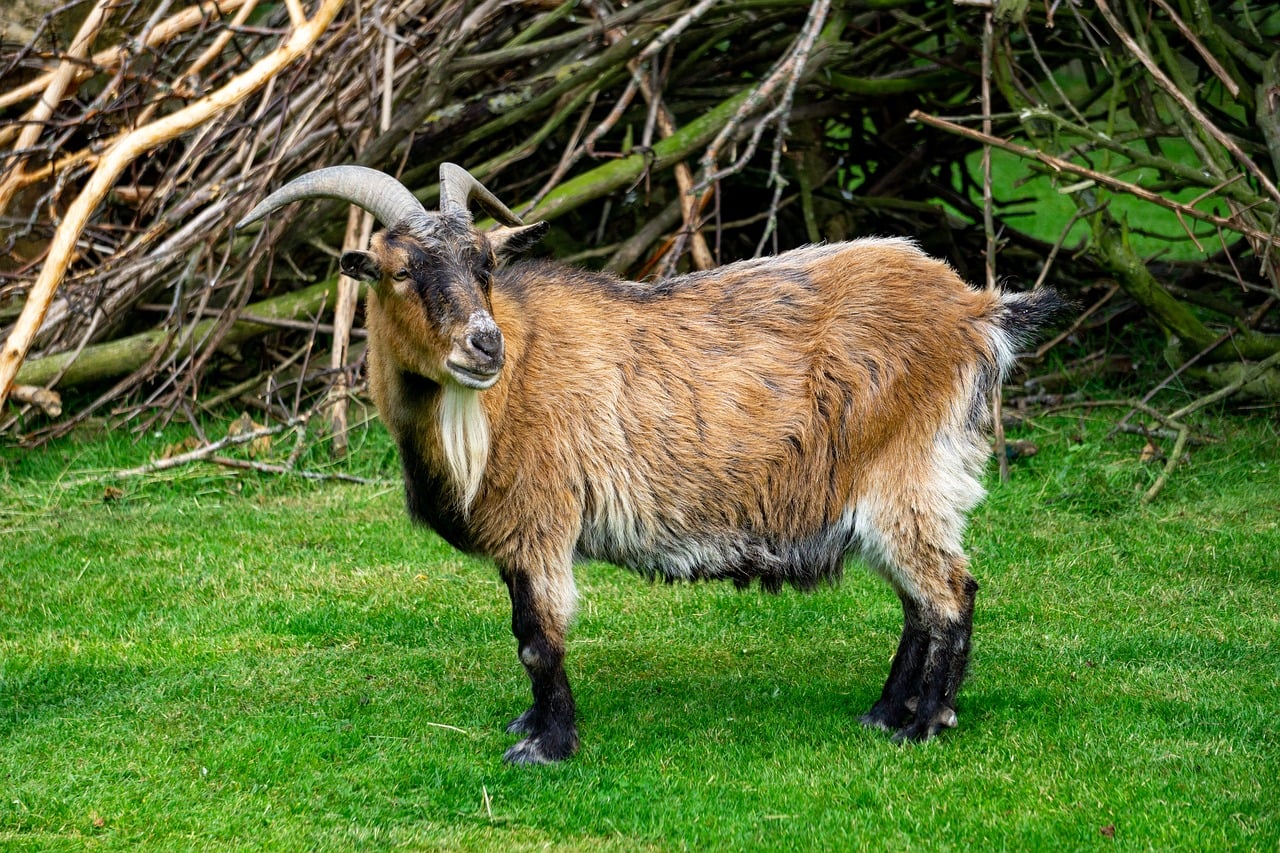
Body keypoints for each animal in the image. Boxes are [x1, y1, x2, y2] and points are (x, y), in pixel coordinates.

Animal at [238, 164, 1063, 764]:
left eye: (485, 262)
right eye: (400, 271)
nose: (484, 343)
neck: (506, 393)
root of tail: (976, 310)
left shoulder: (542, 517)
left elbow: (539, 636)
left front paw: (548, 746)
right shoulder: (515, 536)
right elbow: (521, 626)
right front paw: (527, 723)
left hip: (906, 472)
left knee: (949, 591)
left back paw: (924, 722)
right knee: (919, 598)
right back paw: (885, 712)